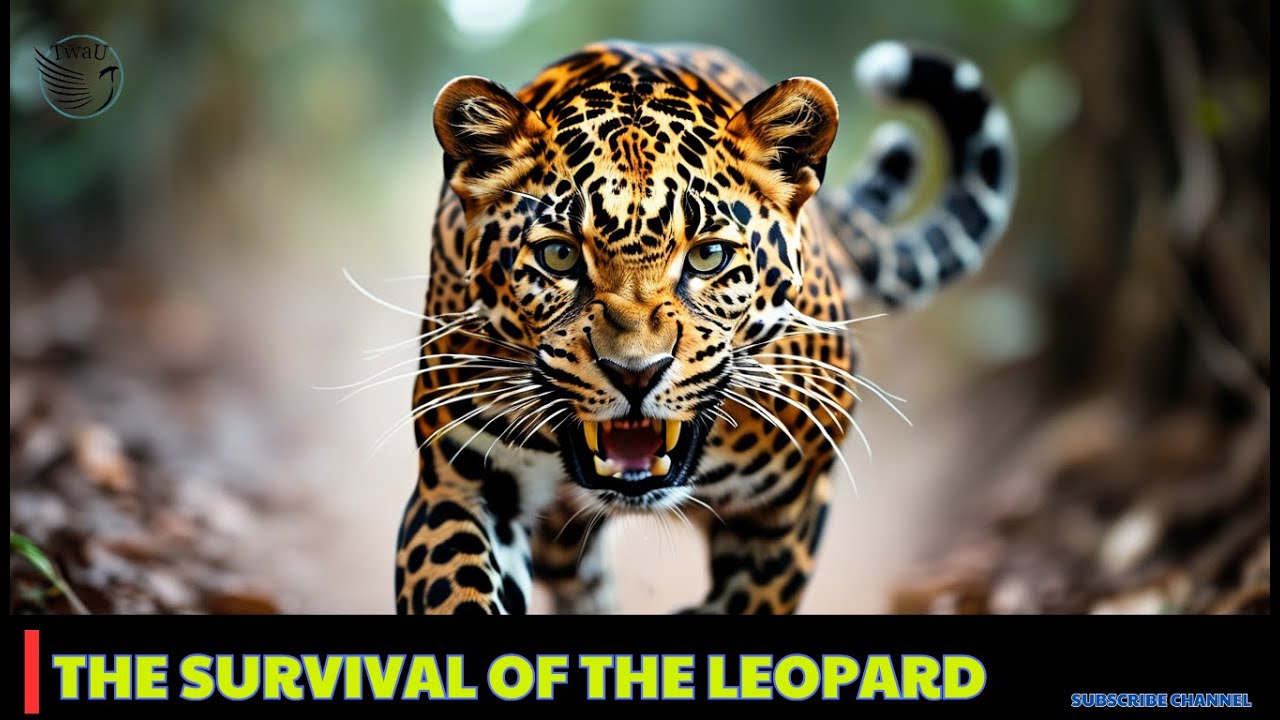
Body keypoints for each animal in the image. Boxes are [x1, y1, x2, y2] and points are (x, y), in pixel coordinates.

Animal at [394, 39, 1015, 615]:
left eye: (708, 256)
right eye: (560, 256)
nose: (635, 374)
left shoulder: (790, 504)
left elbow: (751, 598)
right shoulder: (464, 481)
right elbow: (454, 589)